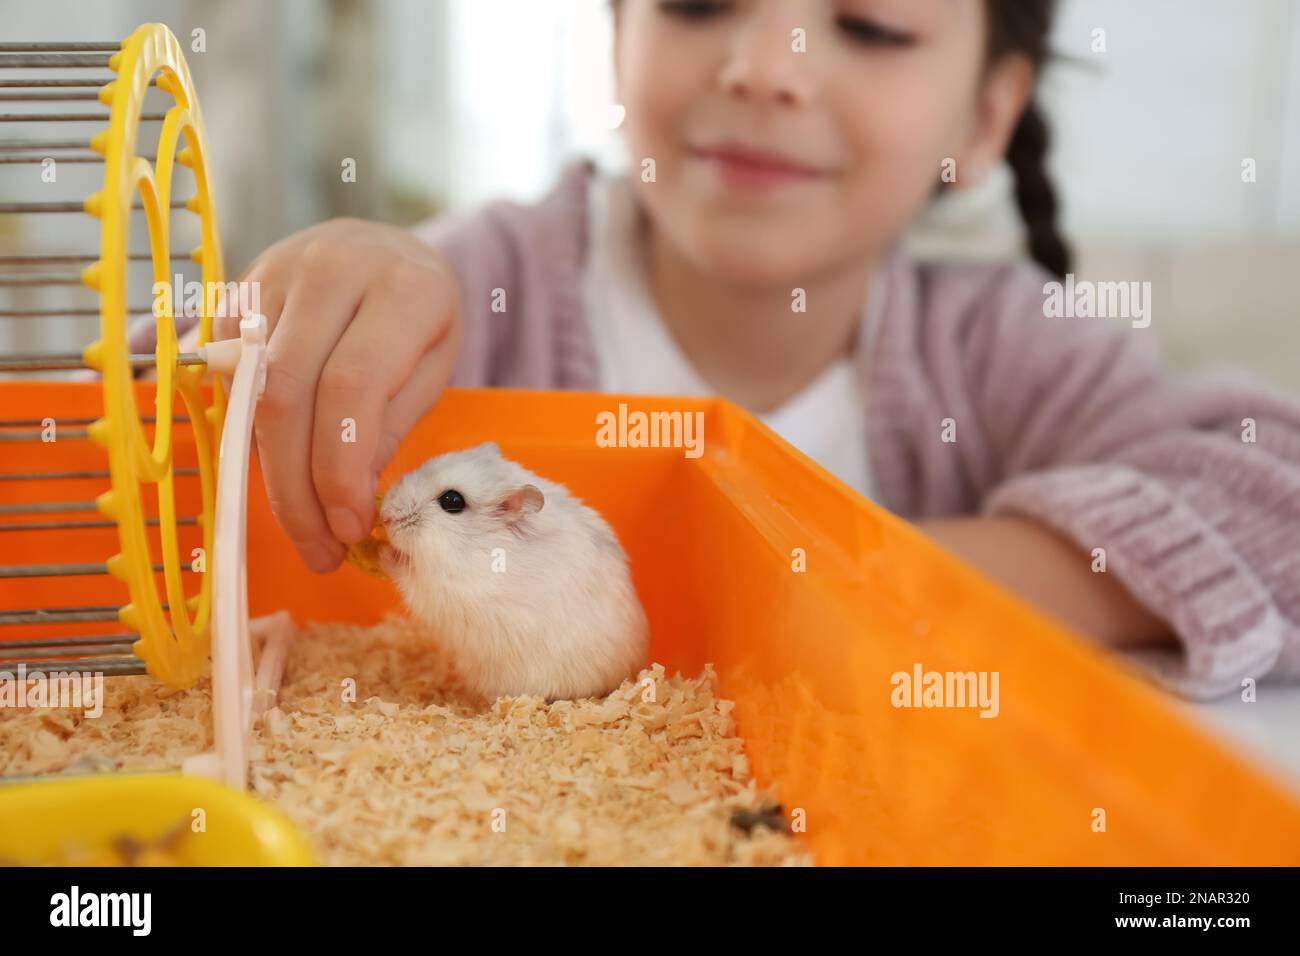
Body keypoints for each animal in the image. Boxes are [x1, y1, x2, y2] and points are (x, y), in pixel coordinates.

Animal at [377, 442, 649, 702]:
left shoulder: (448, 587)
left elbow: (409, 576)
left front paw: (384, 553)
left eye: (452, 501)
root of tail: (629, 671)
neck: (476, 545)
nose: (384, 516)